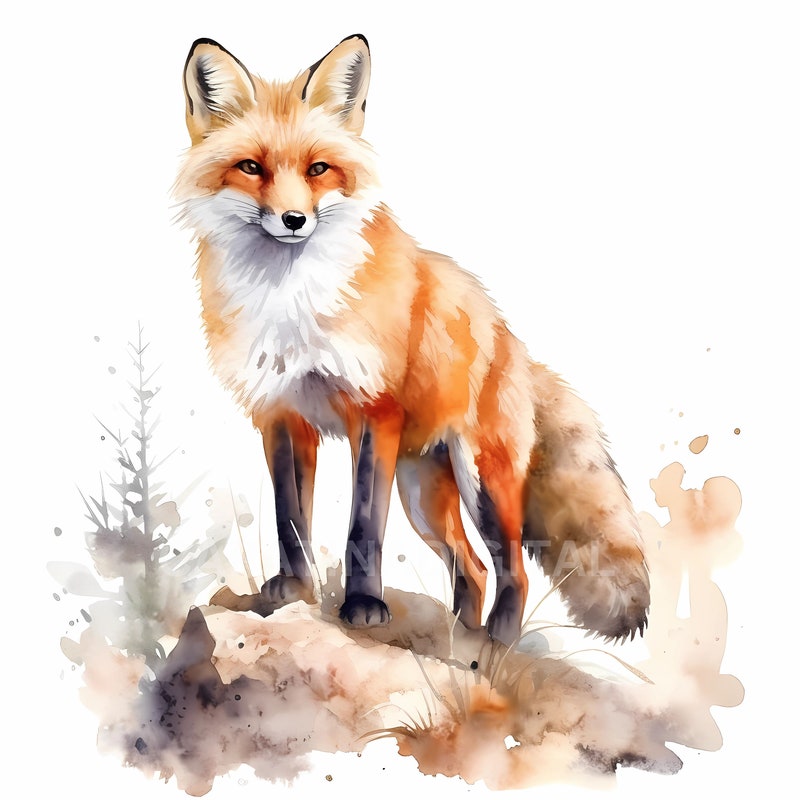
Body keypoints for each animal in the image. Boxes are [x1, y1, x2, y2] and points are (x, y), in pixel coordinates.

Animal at [174, 34, 650, 646]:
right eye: (251, 167)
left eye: (319, 168)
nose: (293, 219)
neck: (291, 303)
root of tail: (511, 339)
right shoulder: (282, 414)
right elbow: (290, 520)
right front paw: (294, 592)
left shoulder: (374, 414)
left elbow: (362, 527)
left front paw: (363, 605)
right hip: (423, 493)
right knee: (472, 568)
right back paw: (457, 640)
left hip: (481, 481)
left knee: (512, 568)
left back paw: (496, 642)